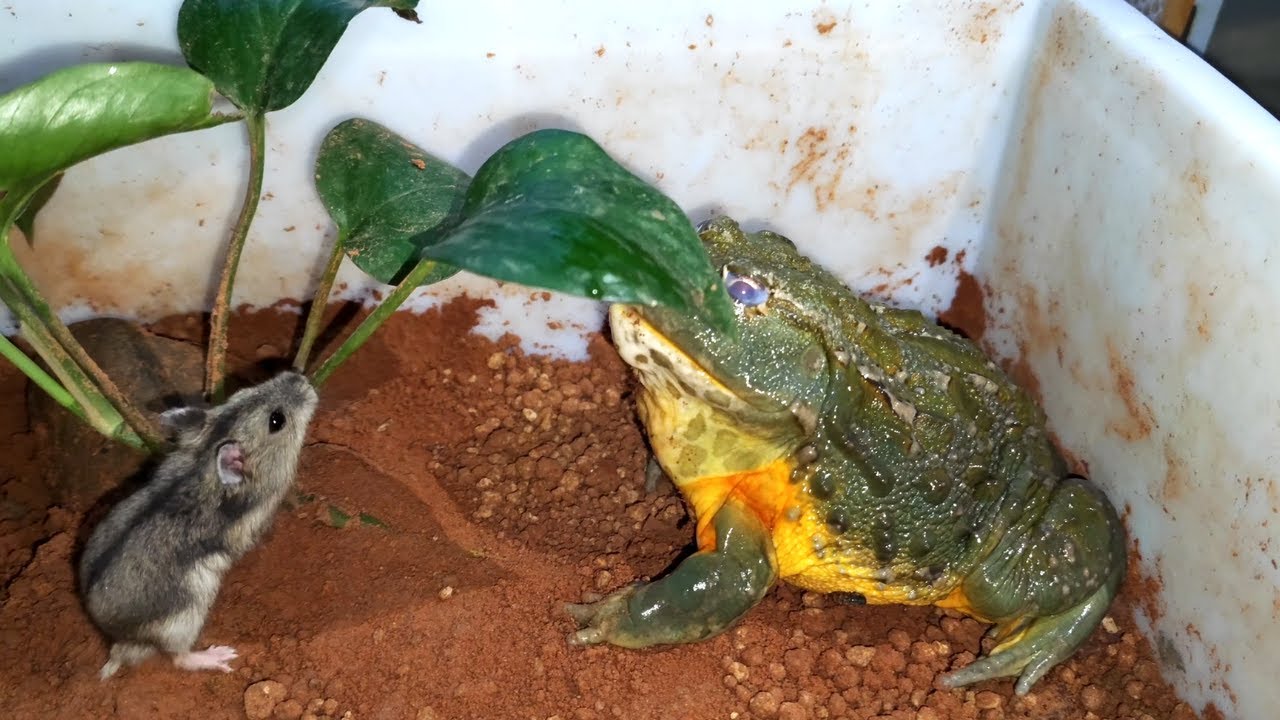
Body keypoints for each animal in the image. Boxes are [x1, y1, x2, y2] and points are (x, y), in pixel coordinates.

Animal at [78, 370, 319, 679]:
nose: (299, 376)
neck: (204, 466)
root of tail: (118, 642)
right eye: (276, 420)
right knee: (178, 658)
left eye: (244, 390)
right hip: (185, 619)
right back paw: (222, 656)